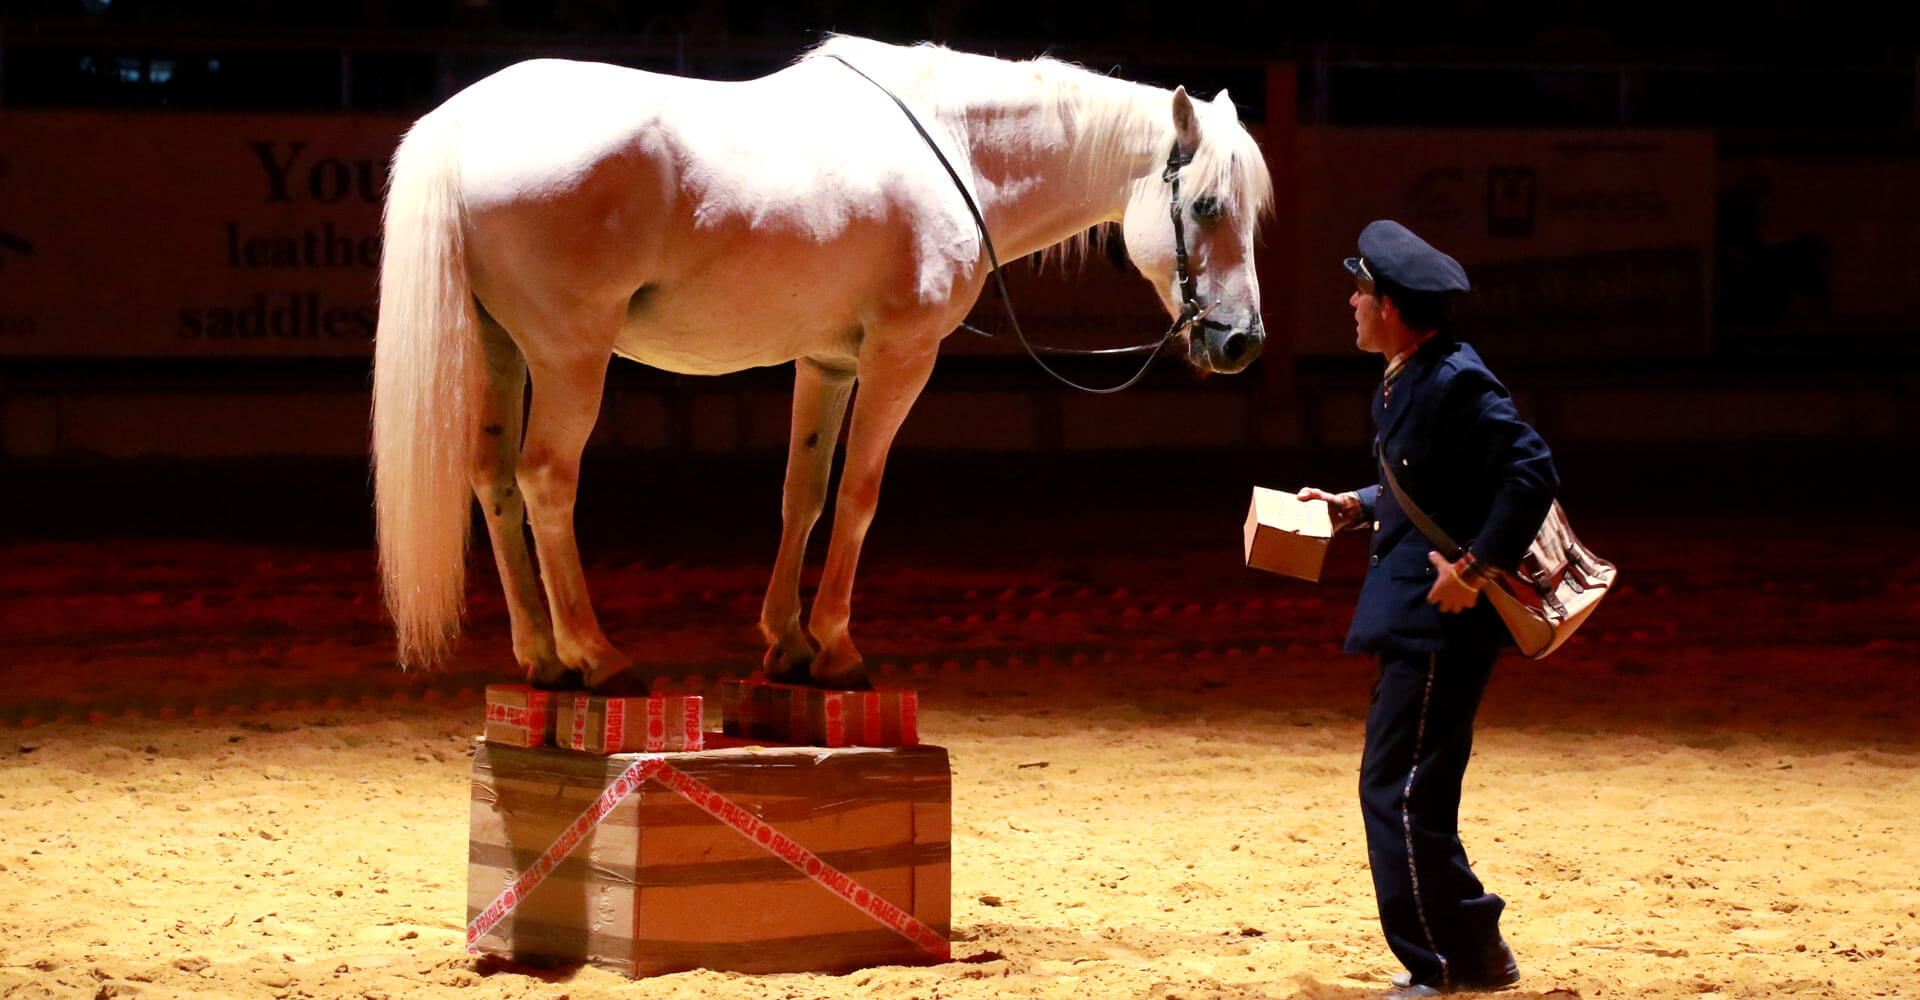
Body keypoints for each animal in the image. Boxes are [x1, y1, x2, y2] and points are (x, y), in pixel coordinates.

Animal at [372, 35, 1274, 691]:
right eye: (1205, 205)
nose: (1240, 341)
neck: (954, 150)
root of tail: (458, 123)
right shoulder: (899, 359)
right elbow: (858, 496)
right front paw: (838, 648)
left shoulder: (827, 365)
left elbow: (801, 496)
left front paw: (788, 644)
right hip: (570, 357)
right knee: (546, 479)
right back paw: (595, 655)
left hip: (500, 352)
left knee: (493, 481)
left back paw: (540, 655)